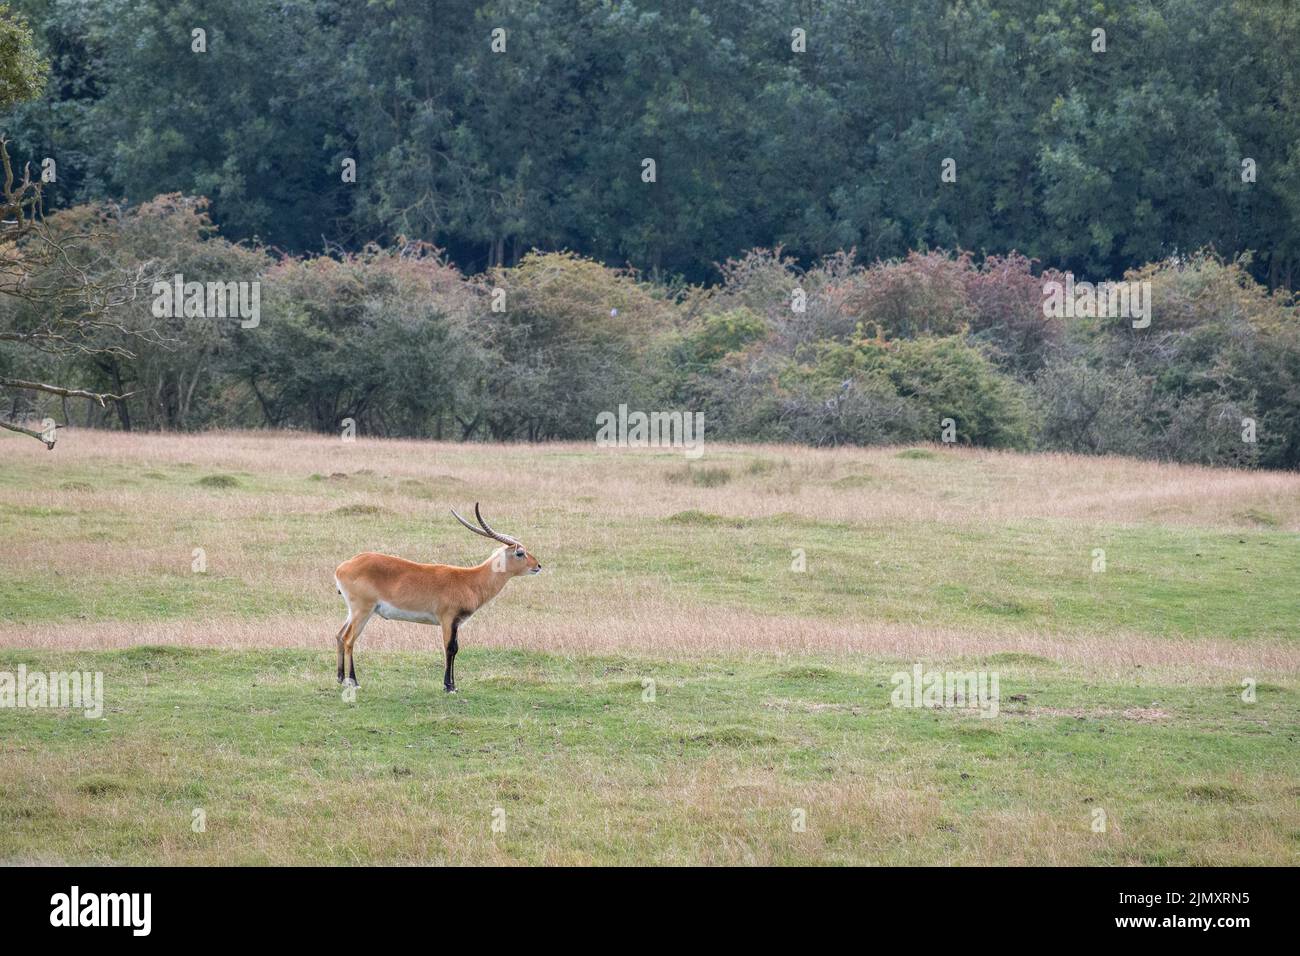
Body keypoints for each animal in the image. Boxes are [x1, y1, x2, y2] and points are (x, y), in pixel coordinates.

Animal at [332, 504, 542, 692]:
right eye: (520, 553)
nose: (538, 565)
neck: (470, 580)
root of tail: (344, 566)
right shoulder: (447, 619)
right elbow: (449, 648)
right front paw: (449, 686)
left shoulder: (456, 622)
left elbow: (455, 648)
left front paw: (453, 685)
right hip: (363, 611)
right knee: (349, 639)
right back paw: (354, 682)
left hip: (354, 612)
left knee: (340, 635)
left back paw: (340, 678)